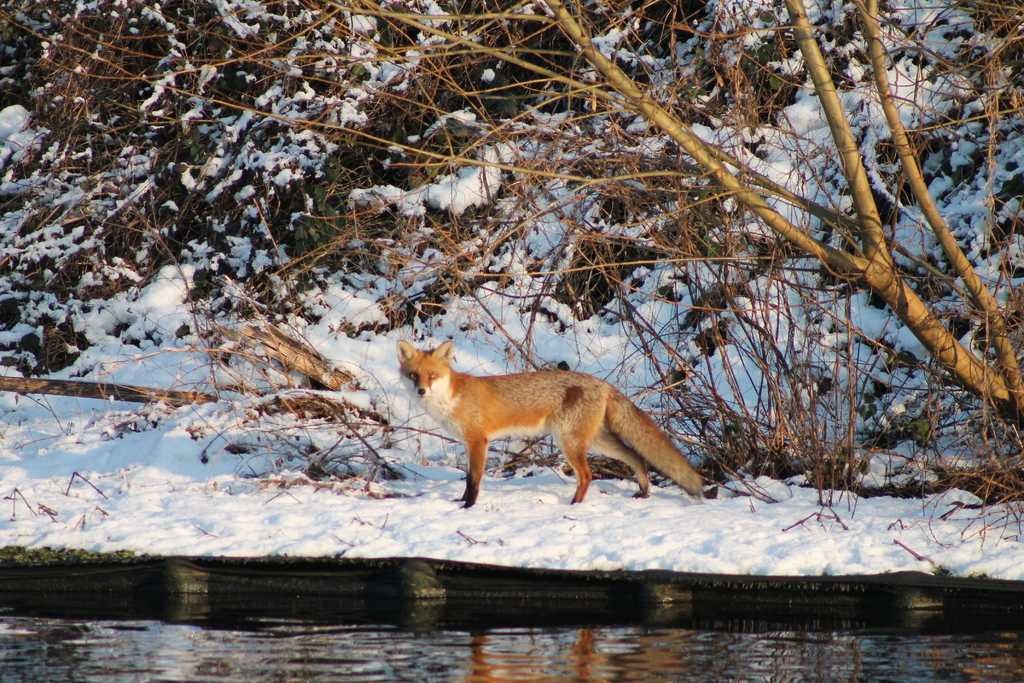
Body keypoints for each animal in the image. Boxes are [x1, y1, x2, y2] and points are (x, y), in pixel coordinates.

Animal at [397, 340, 703, 508]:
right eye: (413, 375)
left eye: (432, 376)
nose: (421, 391)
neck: (452, 399)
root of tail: (602, 383)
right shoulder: (469, 443)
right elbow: (467, 479)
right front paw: (460, 502)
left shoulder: (478, 441)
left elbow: (474, 480)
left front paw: (468, 506)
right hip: (597, 441)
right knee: (636, 456)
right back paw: (643, 491)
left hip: (569, 442)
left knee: (588, 475)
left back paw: (574, 505)